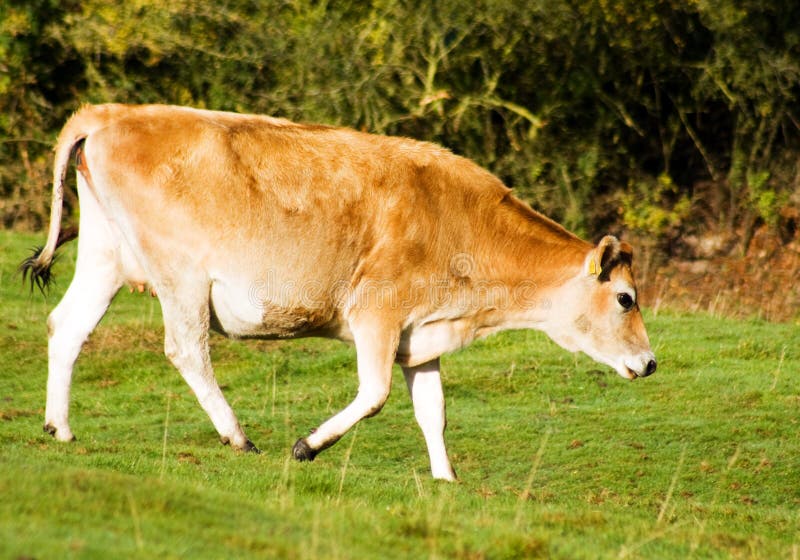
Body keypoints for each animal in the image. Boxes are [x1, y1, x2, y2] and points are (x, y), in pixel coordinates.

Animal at [22, 104, 656, 480]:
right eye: (625, 299)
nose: (651, 363)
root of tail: (111, 112)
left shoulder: (419, 336)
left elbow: (433, 413)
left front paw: (446, 480)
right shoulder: (377, 310)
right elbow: (374, 394)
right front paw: (307, 445)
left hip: (104, 258)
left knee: (67, 326)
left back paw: (60, 428)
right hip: (182, 277)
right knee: (186, 349)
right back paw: (238, 437)